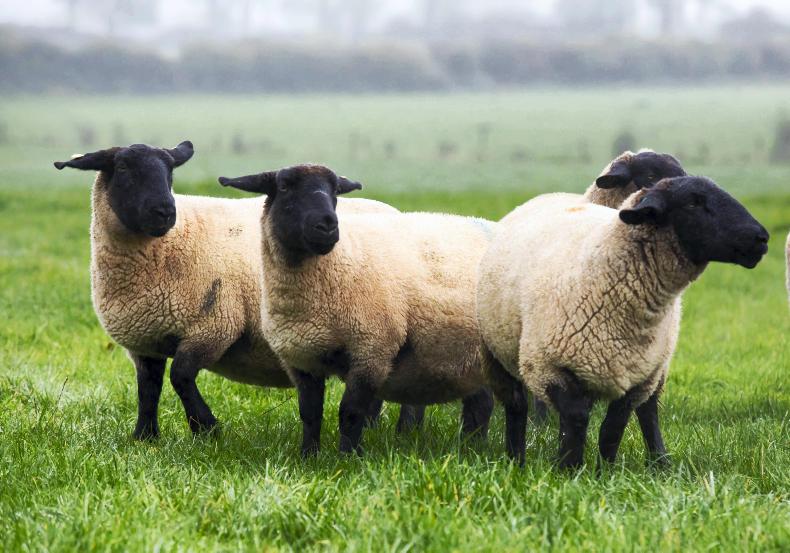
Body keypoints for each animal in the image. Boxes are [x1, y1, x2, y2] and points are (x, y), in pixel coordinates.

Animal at [54, 143, 414, 439]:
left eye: (170, 172)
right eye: (124, 168)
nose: (165, 211)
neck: (169, 244)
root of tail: (394, 211)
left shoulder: (214, 324)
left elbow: (180, 376)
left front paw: (206, 429)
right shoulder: (144, 341)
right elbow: (148, 390)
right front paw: (145, 437)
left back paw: (403, 431)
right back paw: (373, 425)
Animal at [218, 164, 495, 456]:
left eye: (335, 191)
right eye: (283, 187)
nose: (328, 224)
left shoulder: (371, 349)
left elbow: (350, 413)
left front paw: (348, 456)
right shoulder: (301, 359)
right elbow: (309, 413)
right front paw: (308, 456)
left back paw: (474, 446)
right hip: (470, 357)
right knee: (480, 402)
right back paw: (472, 443)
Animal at [477, 176, 769, 467]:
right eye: (693, 203)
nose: (762, 238)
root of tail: (549, 196)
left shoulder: (638, 377)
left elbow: (613, 427)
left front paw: (603, 471)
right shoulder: (548, 366)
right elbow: (576, 418)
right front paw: (569, 469)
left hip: (649, 368)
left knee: (649, 411)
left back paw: (660, 463)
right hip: (501, 353)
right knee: (517, 406)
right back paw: (516, 460)